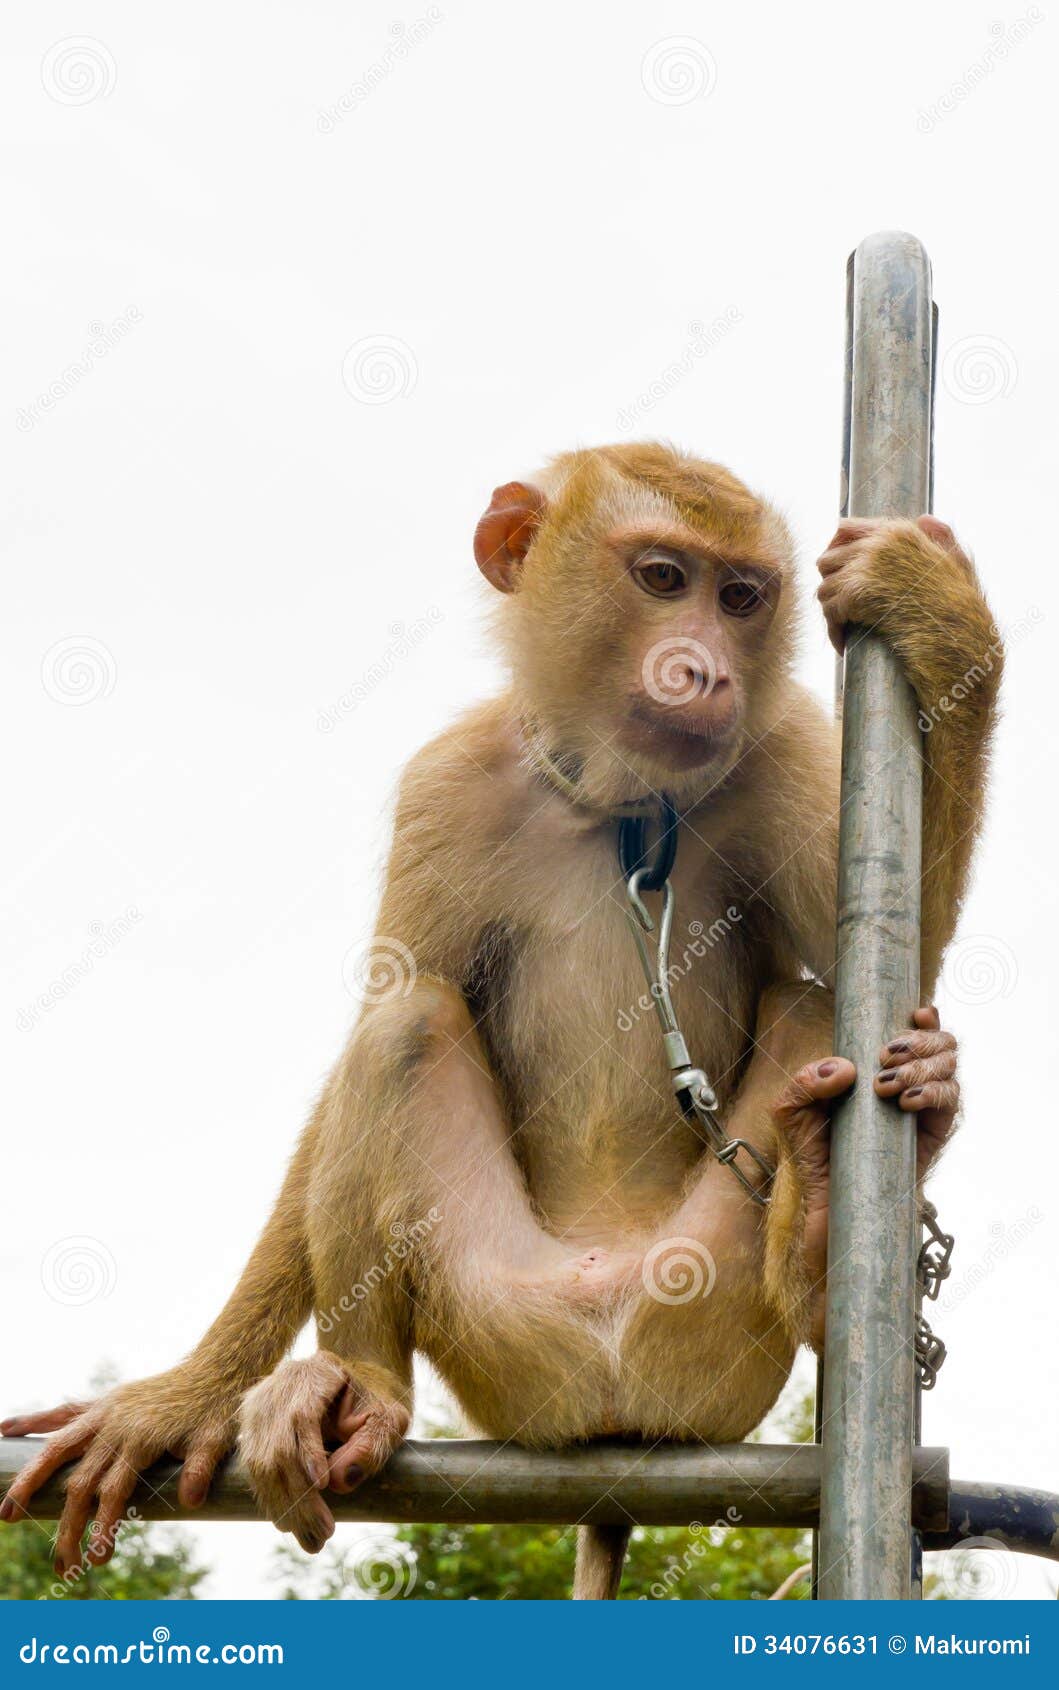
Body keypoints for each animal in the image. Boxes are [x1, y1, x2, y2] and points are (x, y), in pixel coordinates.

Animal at [2, 444, 999, 1599]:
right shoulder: (448, 787)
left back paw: (822, 1241)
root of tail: (613, 1404)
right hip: (496, 1333)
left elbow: (894, 953)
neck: (617, 803)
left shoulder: (781, 736)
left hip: (712, 1333)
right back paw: (360, 1386)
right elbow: (397, 996)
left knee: (806, 1002)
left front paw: (941, 617)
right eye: (664, 578)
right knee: (405, 1022)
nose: (706, 669)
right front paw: (180, 1395)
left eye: (741, 597)